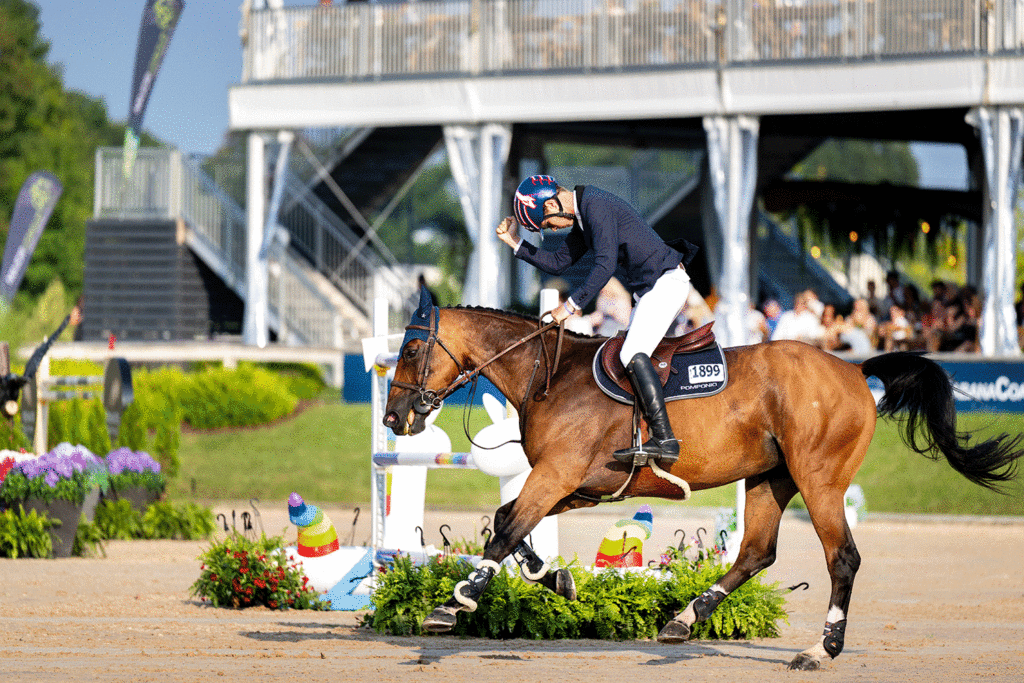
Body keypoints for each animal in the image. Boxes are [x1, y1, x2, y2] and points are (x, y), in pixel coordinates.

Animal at [384, 297, 1023, 671]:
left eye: (412, 347)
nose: (393, 418)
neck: (552, 376)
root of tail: (851, 367)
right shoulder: (578, 485)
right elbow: (509, 525)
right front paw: (558, 579)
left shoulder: (557, 475)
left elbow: (503, 531)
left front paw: (453, 605)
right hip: (770, 478)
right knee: (756, 552)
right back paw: (685, 619)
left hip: (819, 479)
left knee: (842, 557)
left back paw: (821, 648)